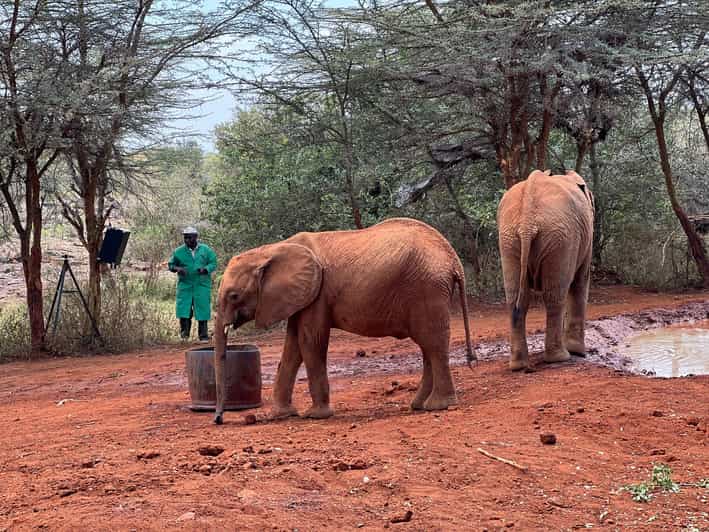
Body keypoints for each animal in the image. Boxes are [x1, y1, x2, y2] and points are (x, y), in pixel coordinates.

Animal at [213, 217, 475, 424]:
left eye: (234, 296)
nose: (218, 419)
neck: (269, 251)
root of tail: (454, 260)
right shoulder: (303, 296)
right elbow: (293, 347)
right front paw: (282, 414)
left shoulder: (318, 293)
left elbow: (310, 342)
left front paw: (315, 416)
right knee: (427, 345)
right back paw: (419, 405)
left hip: (427, 288)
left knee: (433, 342)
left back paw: (439, 406)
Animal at [497, 169, 594, 371]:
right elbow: (581, 280)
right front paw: (580, 353)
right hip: (561, 239)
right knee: (555, 297)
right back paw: (561, 358)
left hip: (509, 239)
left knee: (515, 300)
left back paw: (518, 366)